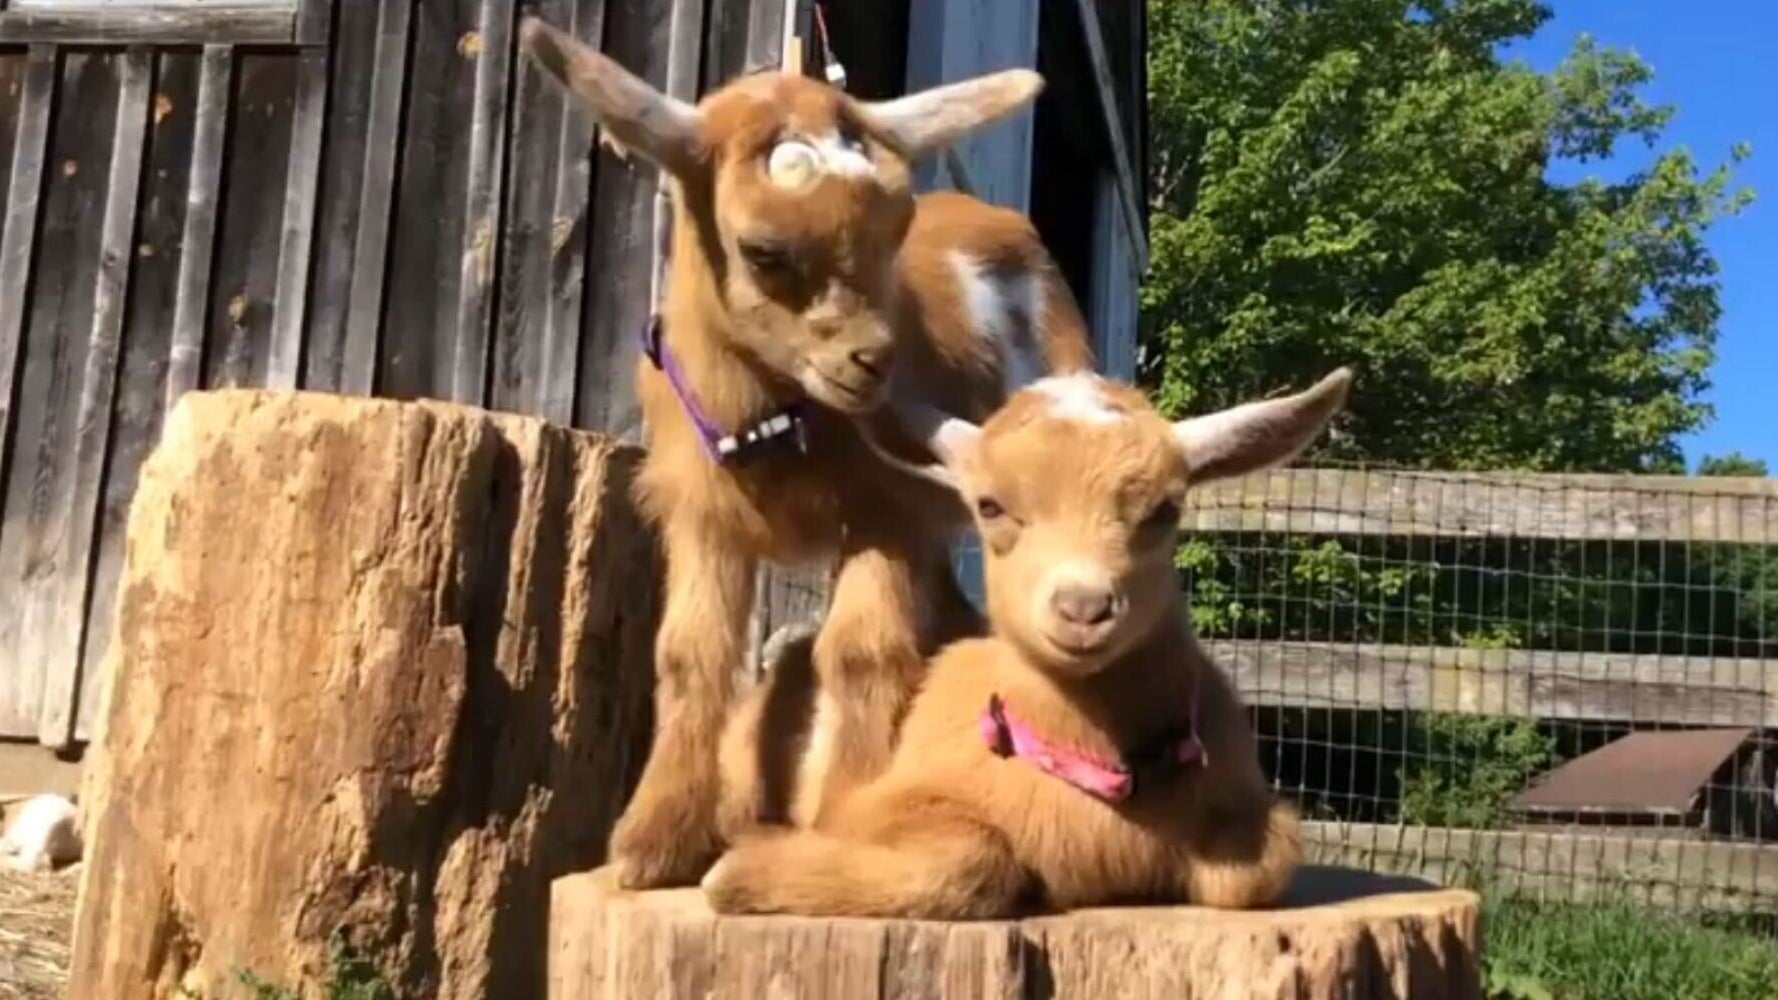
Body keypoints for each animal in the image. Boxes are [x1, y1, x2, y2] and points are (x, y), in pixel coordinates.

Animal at [518, 18, 1093, 887]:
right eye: (762, 250)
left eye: (896, 230)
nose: (874, 363)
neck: (775, 426)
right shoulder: (702, 514)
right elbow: (689, 652)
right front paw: (653, 841)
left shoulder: (890, 509)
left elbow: (859, 651)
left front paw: (841, 822)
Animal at [701, 368, 1352, 917]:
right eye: (989, 506)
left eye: (1166, 509)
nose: (1083, 607)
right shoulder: (870, 808)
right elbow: (976, 856)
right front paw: (743, 874)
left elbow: (1257, 868)